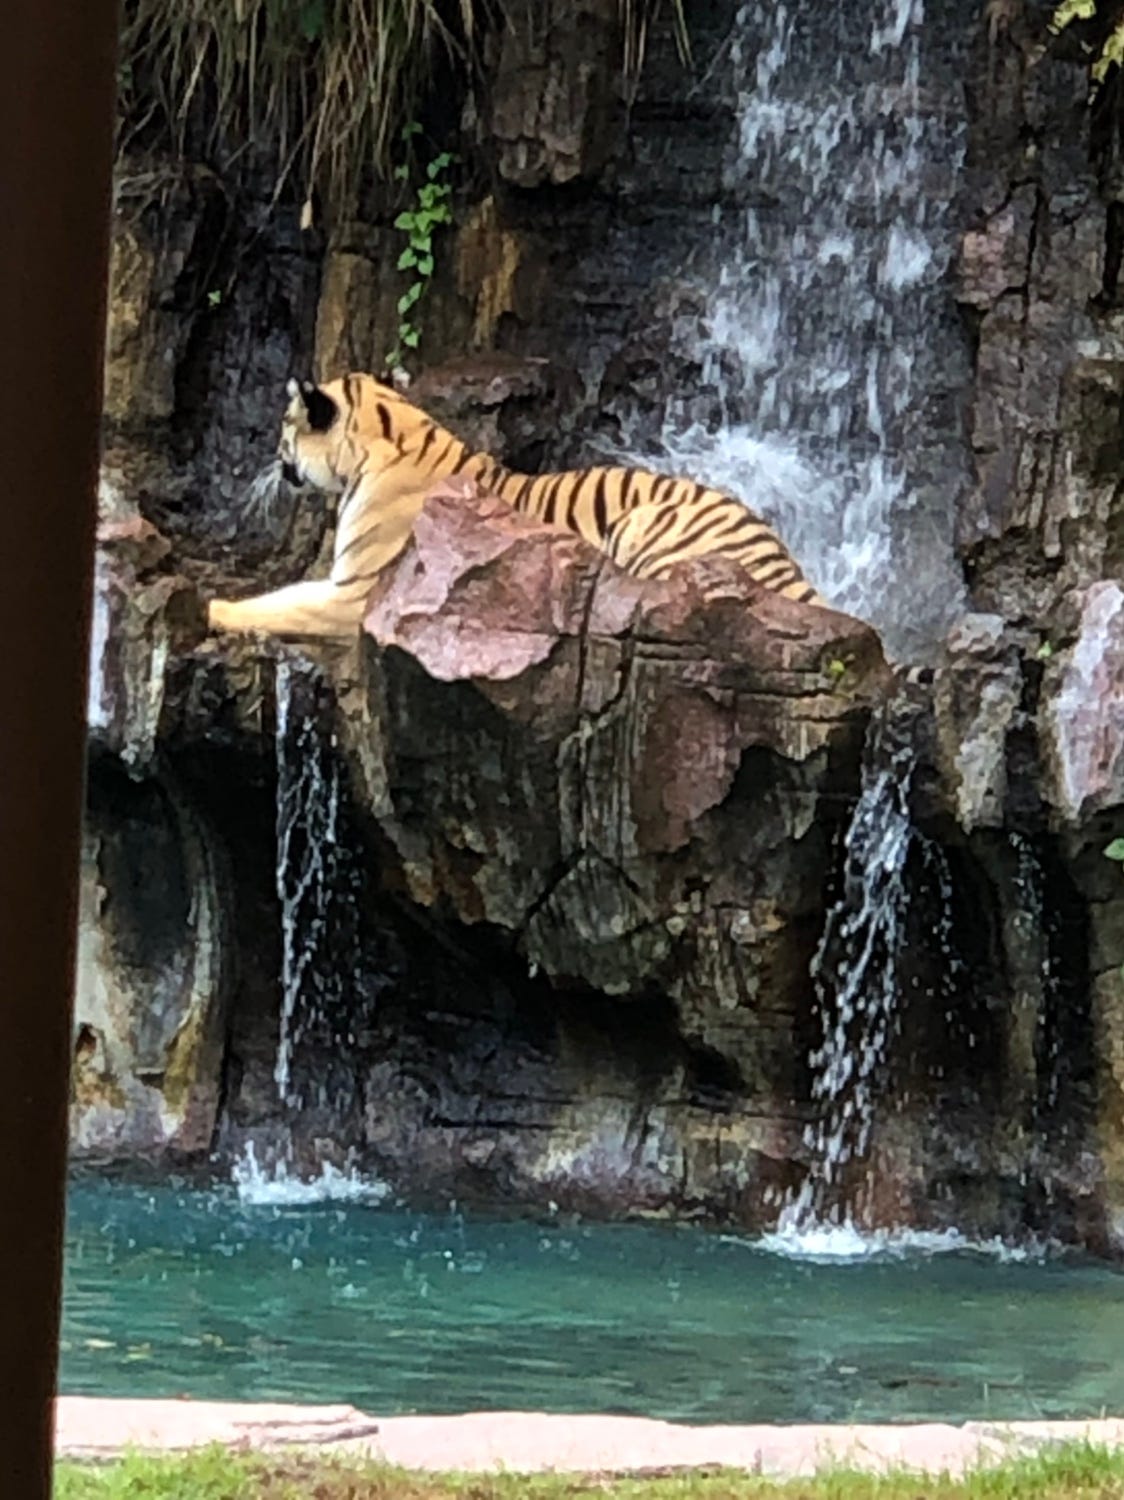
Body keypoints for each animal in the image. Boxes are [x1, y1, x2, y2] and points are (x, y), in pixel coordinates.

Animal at [206, 372, 827, 639]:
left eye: (285, 426)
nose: (272, 455)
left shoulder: (354, 594)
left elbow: (280, 604)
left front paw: (214, 609)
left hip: (644, 526)